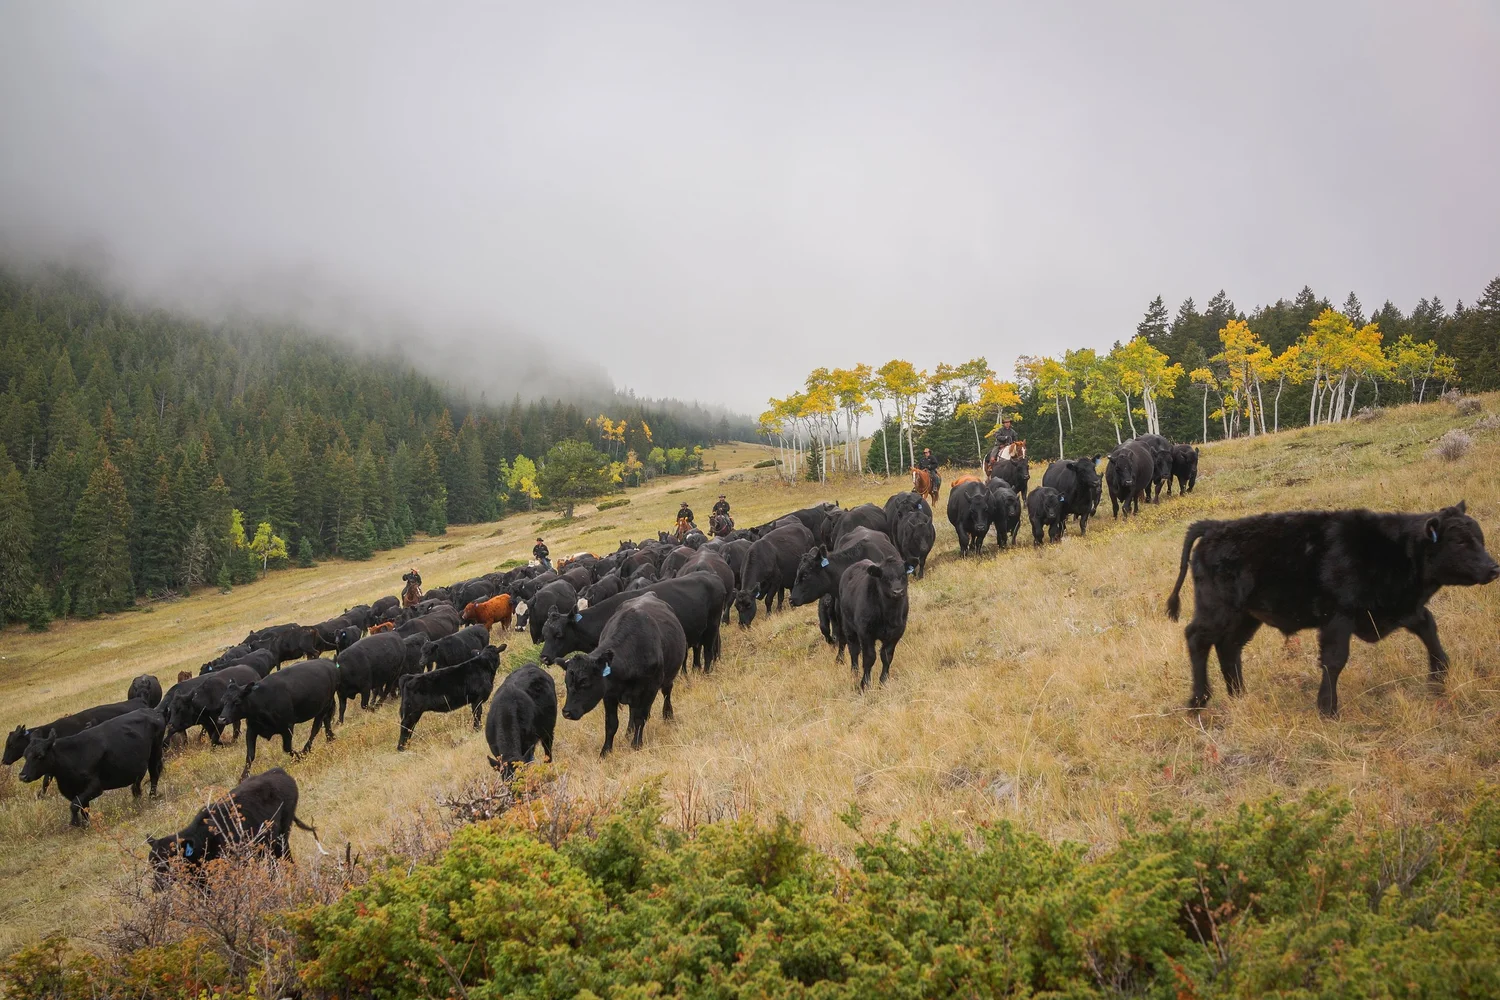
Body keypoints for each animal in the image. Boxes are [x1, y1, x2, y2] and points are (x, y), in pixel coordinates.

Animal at [19, 708, 165, 826]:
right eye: (25, 755)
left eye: (40, 755)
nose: (22, 776)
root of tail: (153, 712)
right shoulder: (74, 791)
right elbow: (82, 807)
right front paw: (86, 824)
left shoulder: (95, 787)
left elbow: (74, 804)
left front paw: (75, 823)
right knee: (137, 782)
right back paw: (137, 799)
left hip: (155, 752)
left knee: (154, 774)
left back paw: (152, 797)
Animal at [146, 767, 317, 887]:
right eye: (153, 863)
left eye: (171, 860)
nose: (158, 886)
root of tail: (278, 771)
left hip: (282, 836)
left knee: (283, 859)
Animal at [561, 593, 686, 755]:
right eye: (567, 683)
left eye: (584, 682)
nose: (566, 712)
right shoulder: (609, 694)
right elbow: (611, 724)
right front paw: (605, 751)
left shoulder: (649, 689)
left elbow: (640, 718)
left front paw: (636, 744)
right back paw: (628, 733)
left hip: (668, 678)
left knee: (666, 693)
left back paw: (668, 716)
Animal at [838, 558, 911, 689]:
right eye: (885, 578)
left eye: (903, 575)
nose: (898, 591)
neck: (888, 614)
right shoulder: (865, 633)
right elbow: (869, 658)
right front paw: (864, 684)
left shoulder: (896, 633)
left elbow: (887, 656)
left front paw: (883, 681)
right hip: (848, 627)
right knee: (854, 651)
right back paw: (854, 674)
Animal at [1166, 502, 1499, 717]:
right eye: (1459, 542)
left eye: (1479, 539)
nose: (1493, 568)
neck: (1394, 548)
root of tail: (1213, 527)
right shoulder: (1339, 618)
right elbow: (1335, 660)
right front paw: (1328, 708)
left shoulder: (1401, 608)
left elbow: (1428, 626)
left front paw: (1439, 675)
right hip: (1217, 610)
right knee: (1197, 639)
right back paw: (1197, 701)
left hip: (1246, 617)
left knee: (1229, 647)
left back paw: (1239, 695)